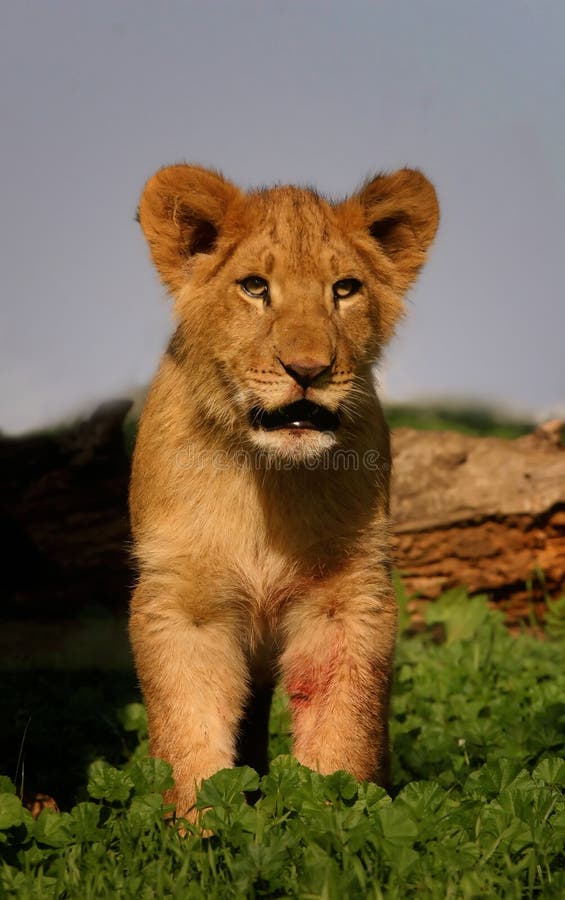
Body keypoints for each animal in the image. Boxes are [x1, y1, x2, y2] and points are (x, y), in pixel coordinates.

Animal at [129, 163, 439, 820]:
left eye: (344, 289)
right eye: (254, 287)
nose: (308, 369)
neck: (267, 481)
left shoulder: (346, 597)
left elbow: (343, 727)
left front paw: (336, 821)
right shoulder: (182, 600)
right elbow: (188, 731)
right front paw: (196, 829)